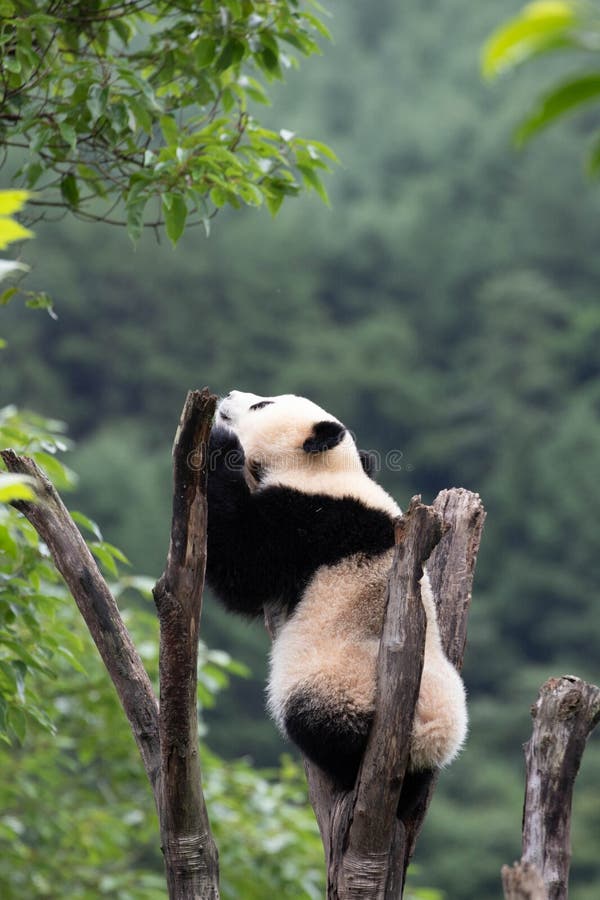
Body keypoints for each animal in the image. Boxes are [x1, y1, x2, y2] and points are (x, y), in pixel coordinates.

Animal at [206, 390, 467, 789]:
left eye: (263, 405)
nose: (231, 396)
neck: (325, 470)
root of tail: (425, 735)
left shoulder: (308, 521)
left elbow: (242, 567)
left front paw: (219, 443)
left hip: (338, 678)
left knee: (319, 720)